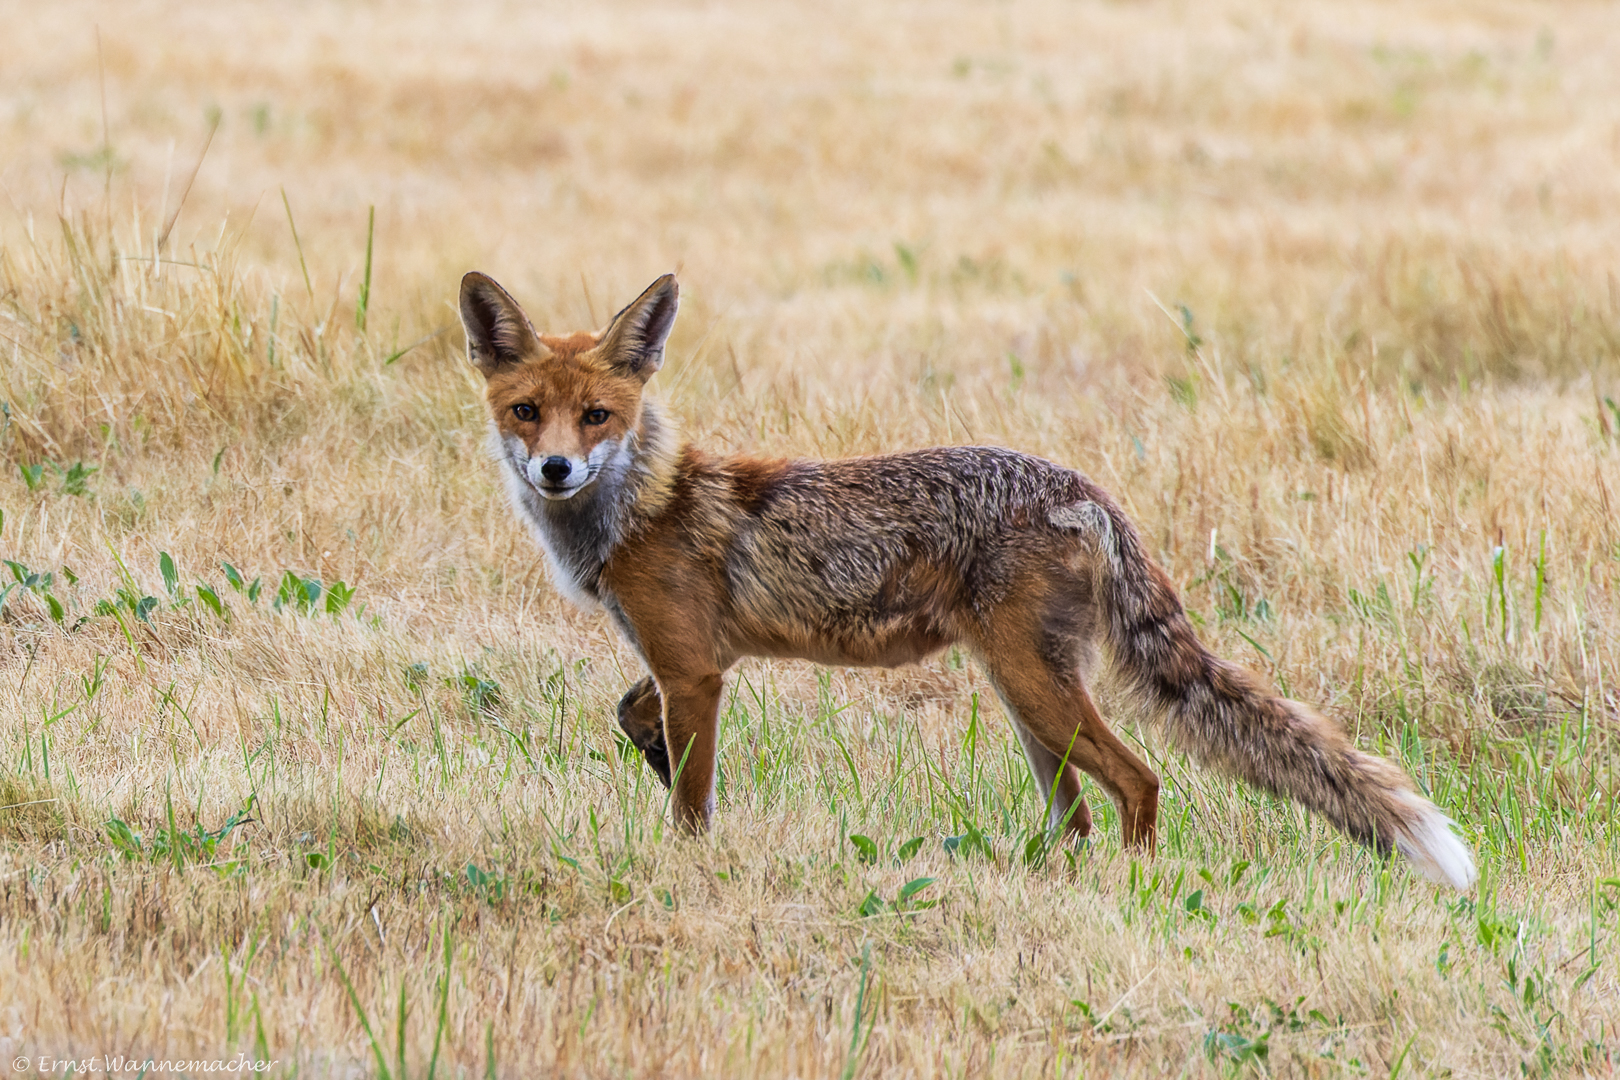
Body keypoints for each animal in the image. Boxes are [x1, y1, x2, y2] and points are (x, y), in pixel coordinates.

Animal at [458, 270, 1477, 891]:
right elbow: (633, 719)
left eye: (597, 415)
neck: (641, 508)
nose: (554, 470)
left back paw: (1136, 892)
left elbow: (690, 806)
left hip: (1035, 687)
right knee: (1076, 817)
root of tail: (1084, 487)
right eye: (527, 411)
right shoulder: (686, 664)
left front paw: (689, 863)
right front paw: (655, 760)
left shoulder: (696, 671)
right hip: (1029, 698)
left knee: (1138, 783)